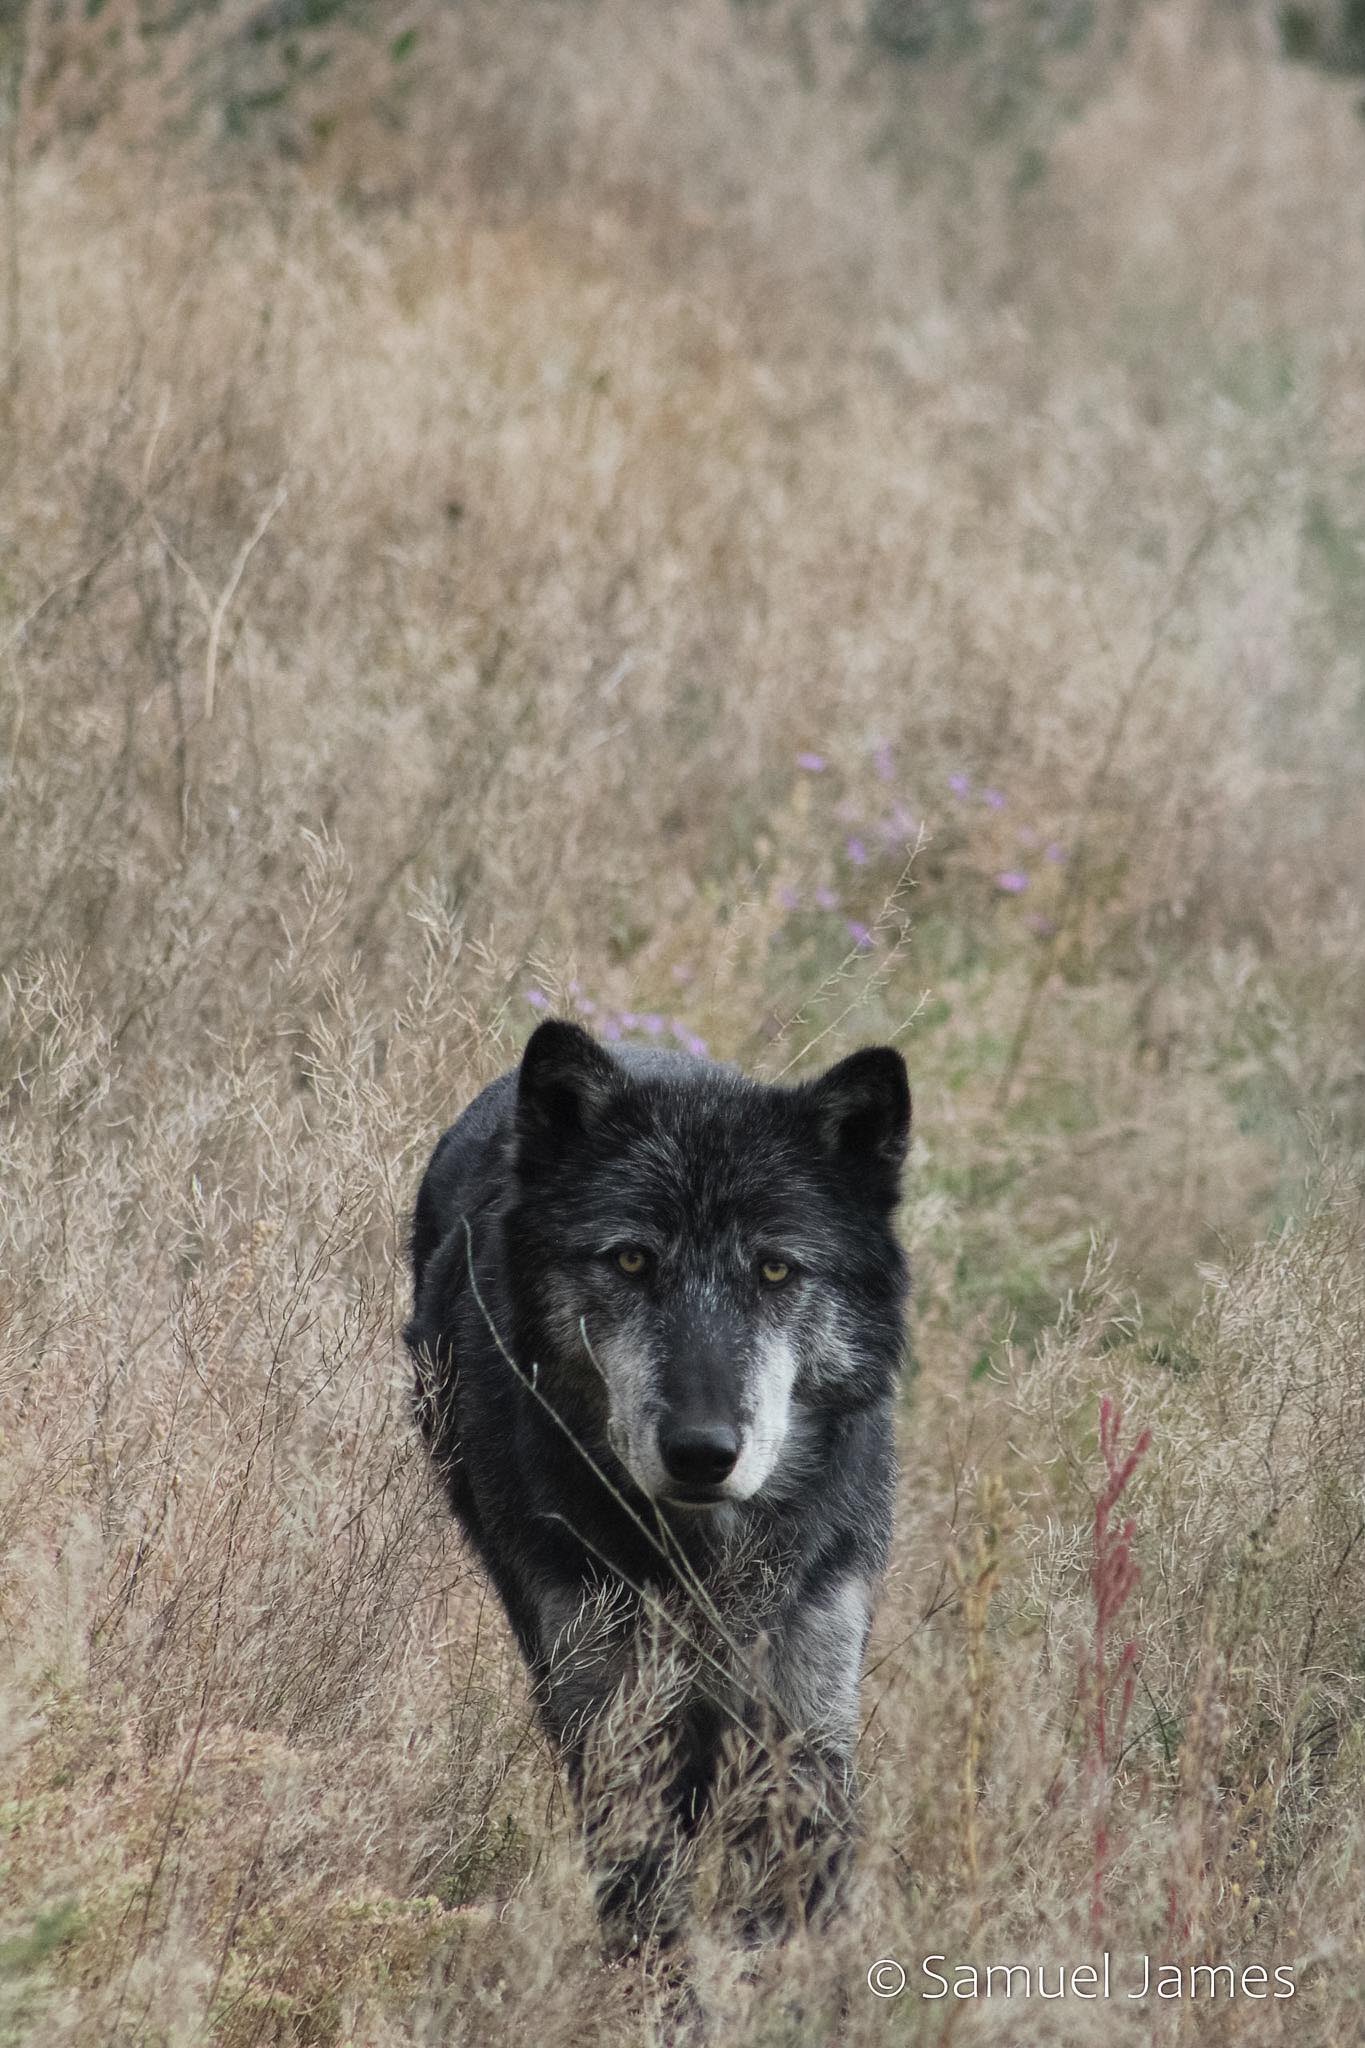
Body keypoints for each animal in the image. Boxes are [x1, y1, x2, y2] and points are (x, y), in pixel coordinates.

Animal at [404, 1018, 911, 1949]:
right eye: (633, 1260)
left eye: (776, 1271)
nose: (702, 1452)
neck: (707, 1560)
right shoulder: (617, 1727)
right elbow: (650, 1916)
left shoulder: (803, 1721)